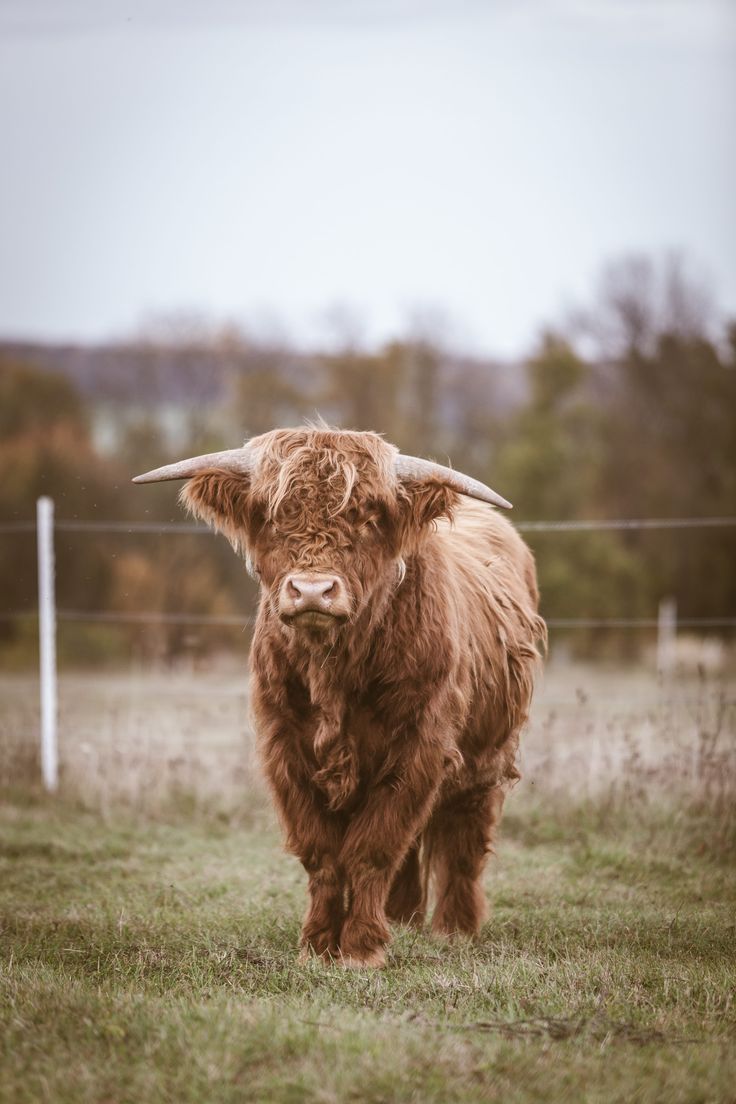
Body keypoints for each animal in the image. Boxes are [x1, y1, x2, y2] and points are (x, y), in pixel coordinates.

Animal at [133, 427, 545, 968]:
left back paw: (455, 928)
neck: (332, 671)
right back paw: (402, 917)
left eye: (367, 519)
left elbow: (374, 847)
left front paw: (362, 948)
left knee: (465, 838)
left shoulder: (418, 749)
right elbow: (324, 854)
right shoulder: (285, 749)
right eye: (274, 516)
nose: (312, 591)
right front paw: (318, 943)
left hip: (488, 757)